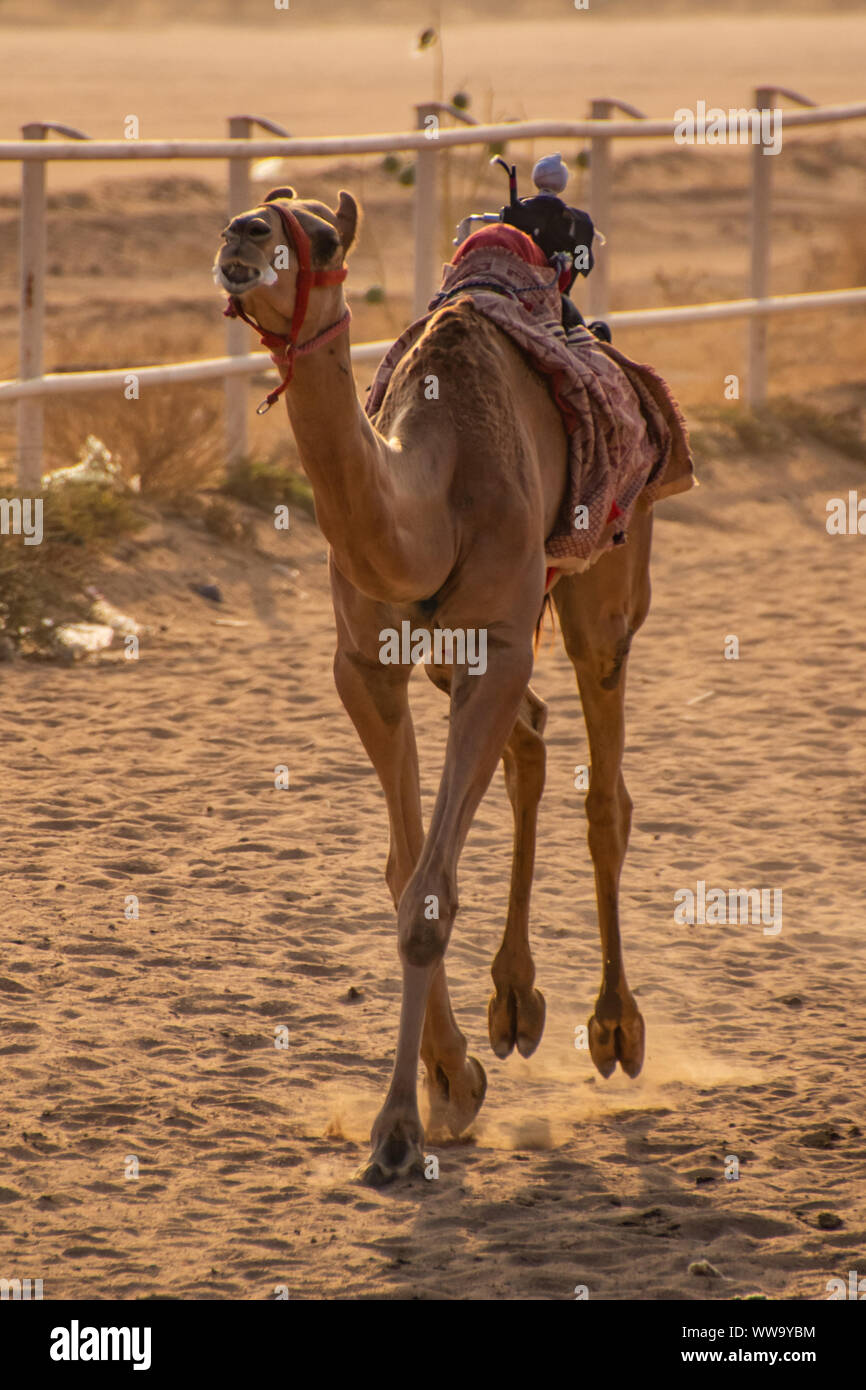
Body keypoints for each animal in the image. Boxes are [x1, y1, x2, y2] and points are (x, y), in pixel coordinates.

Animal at [214, 187, 658, 1184]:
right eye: (257, 209)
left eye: (320, 232)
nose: (241, 235)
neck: (430, 499)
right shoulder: (365, 666)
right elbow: (401, 871)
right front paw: (455, 1081)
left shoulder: (496, 643)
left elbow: (426, 899)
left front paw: (398, 1132)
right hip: (460, 657)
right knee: (532, 739)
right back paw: (515, 1006)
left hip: (606, 581)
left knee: (605, 788)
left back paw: (614, 1029)